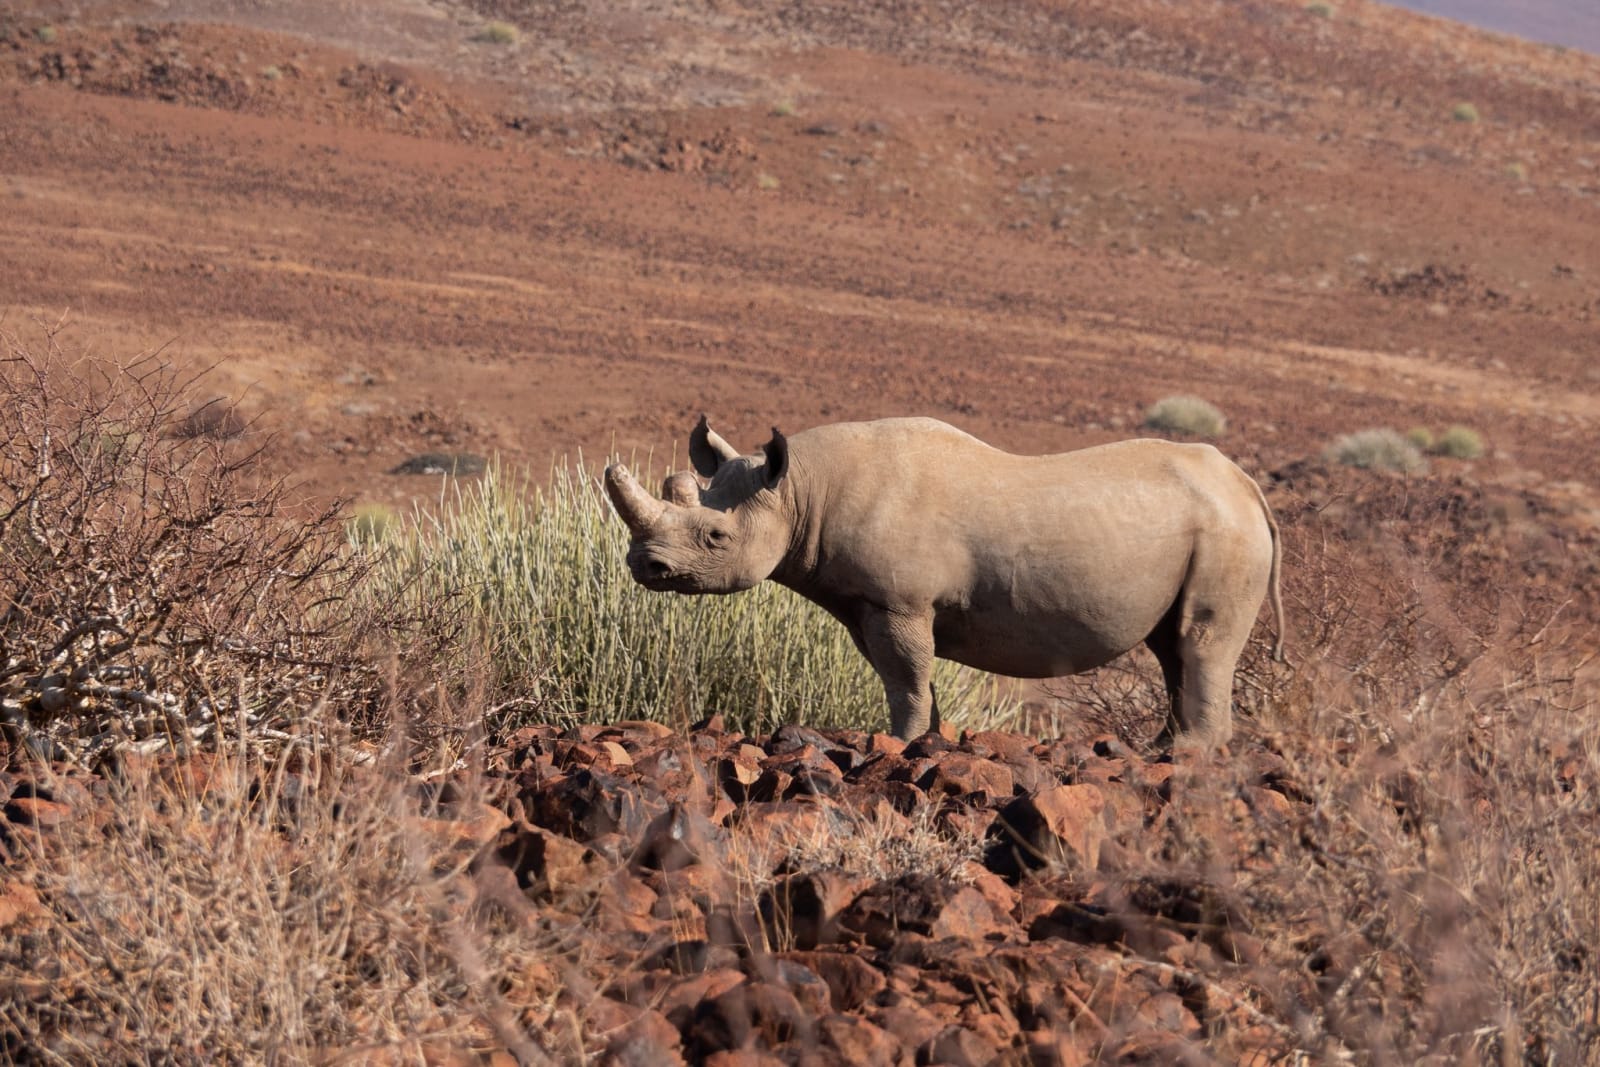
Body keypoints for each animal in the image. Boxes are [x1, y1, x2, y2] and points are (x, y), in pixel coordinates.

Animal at [604, 416, 1283, 747]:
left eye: (716, 539)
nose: (646, 567)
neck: (799, 492)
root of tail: (1248, 486)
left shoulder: (899, 600)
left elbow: (905, 675)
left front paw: (895, 743)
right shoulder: (866, 602)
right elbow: (908, 677)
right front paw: (928, 739)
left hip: (1226, 532)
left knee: (1199, 644)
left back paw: (1186, 759)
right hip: (1211, 527)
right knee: (1173, 649)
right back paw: (1159, 751)